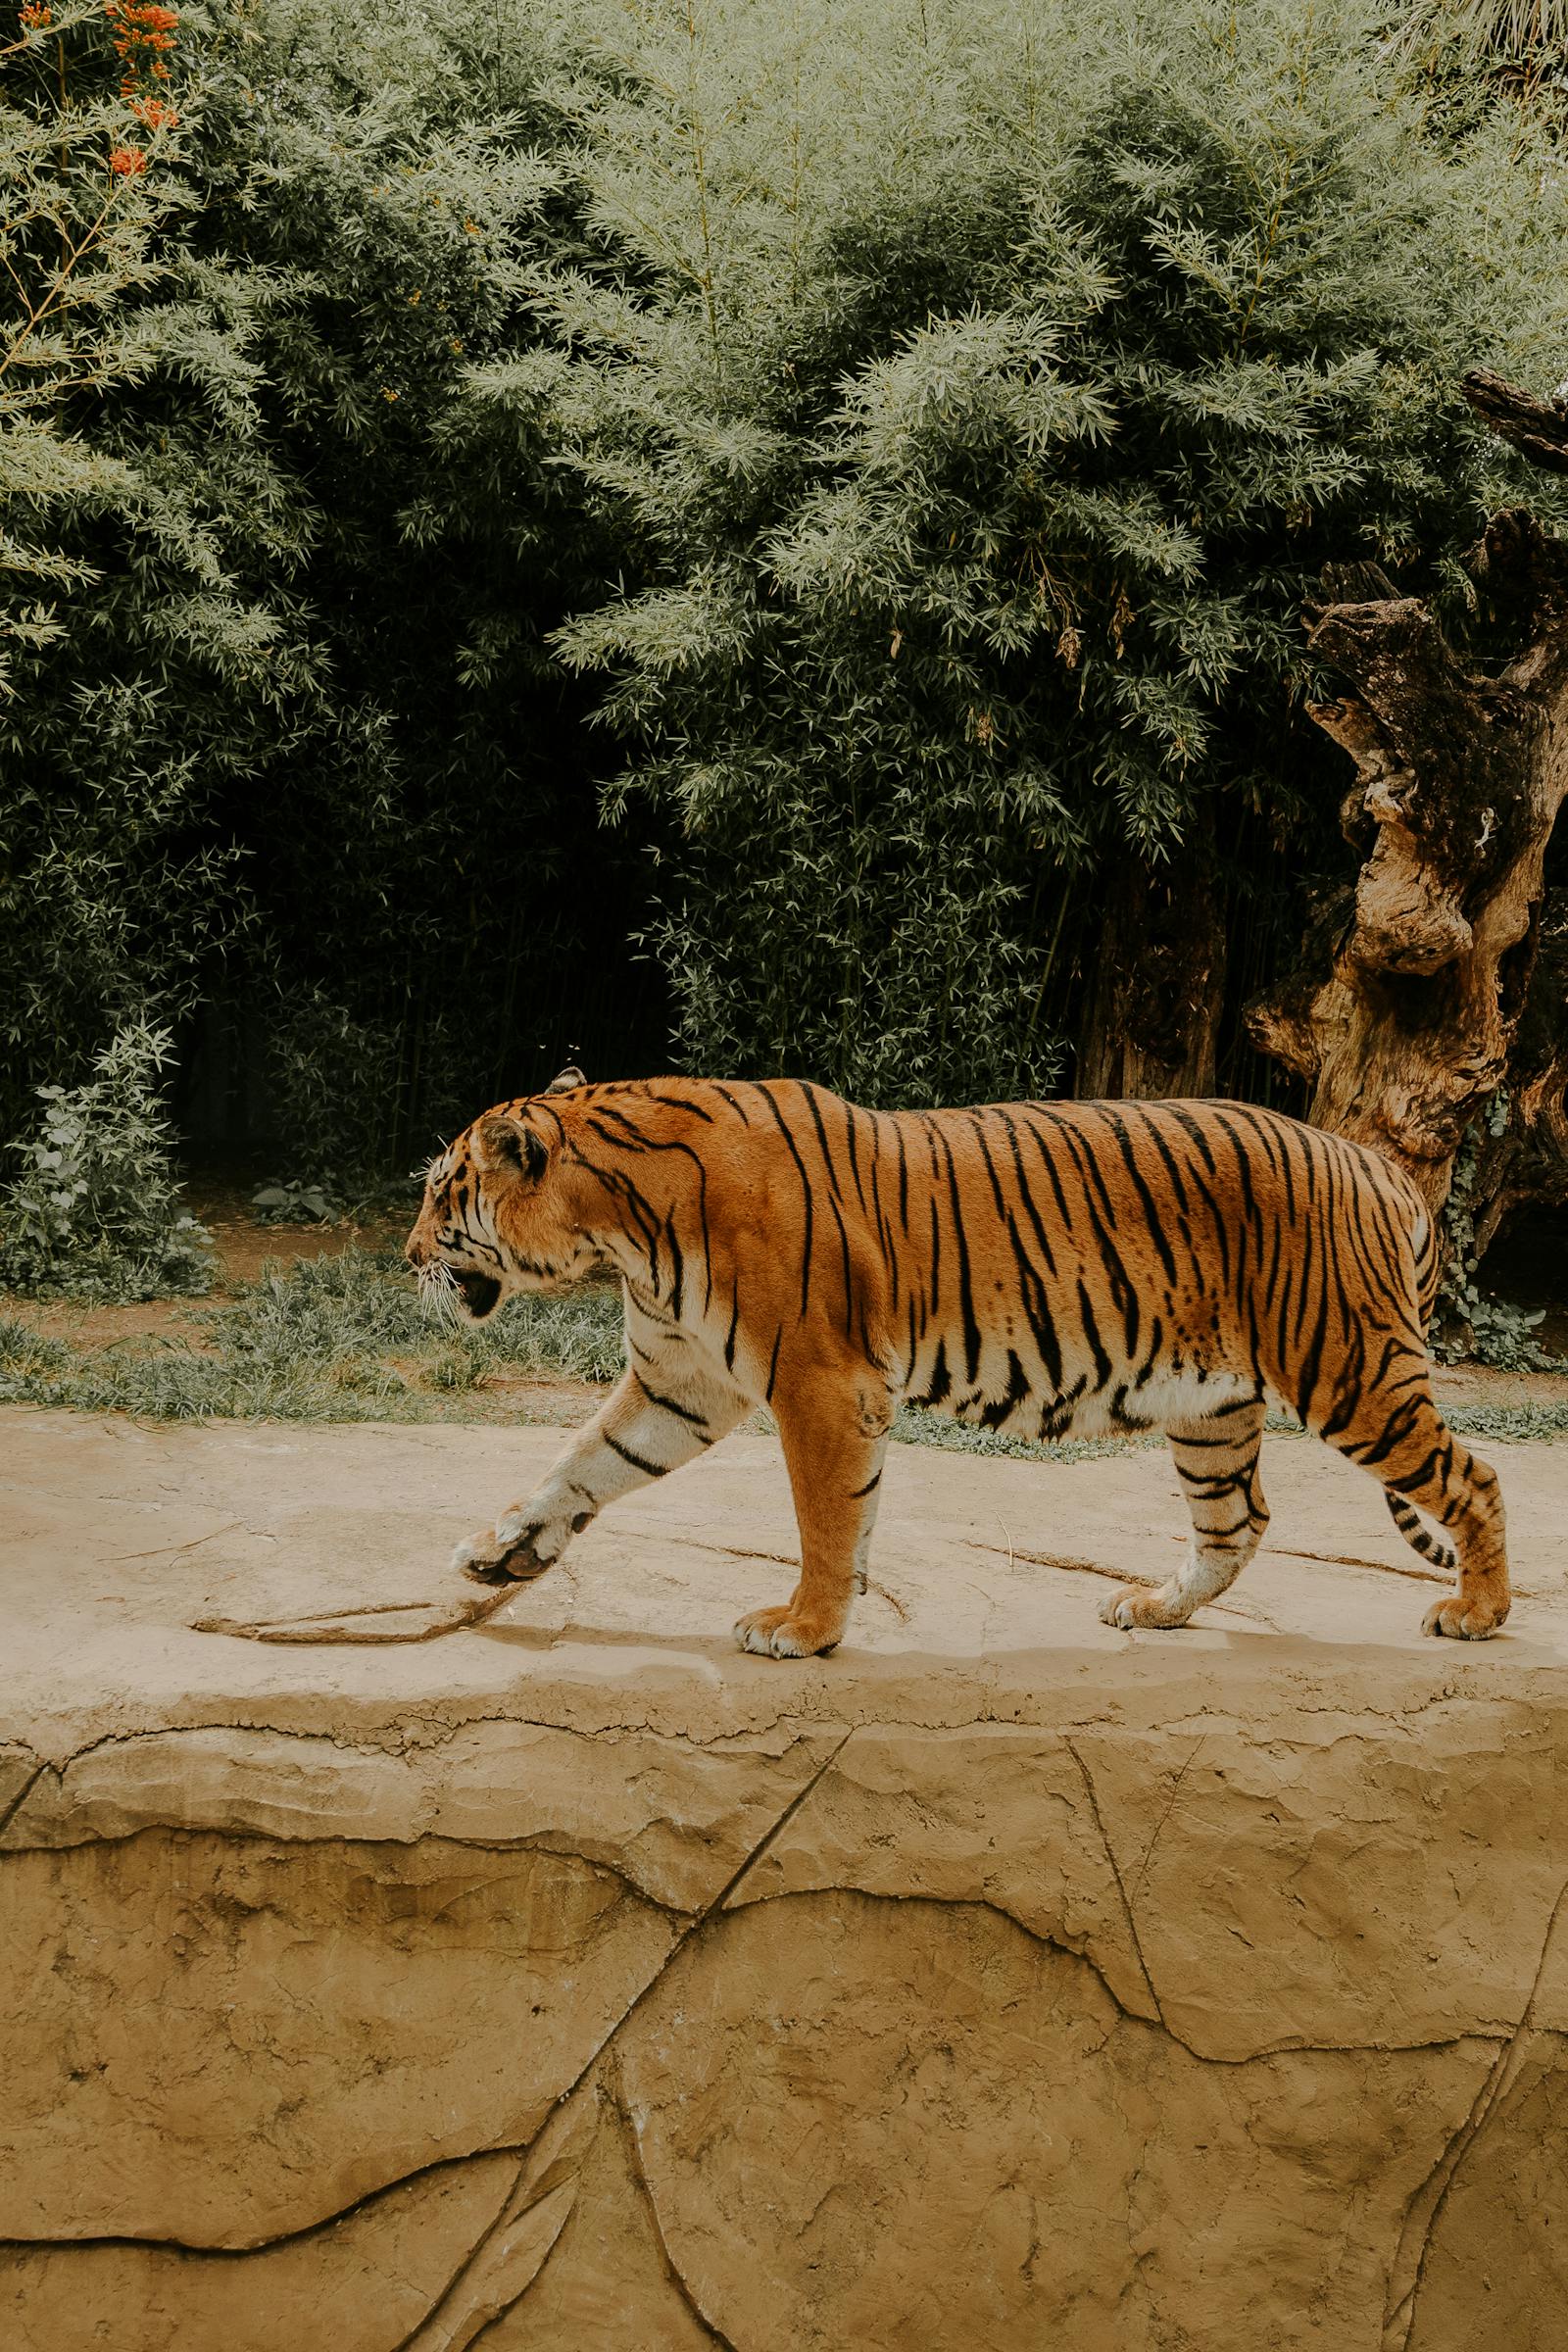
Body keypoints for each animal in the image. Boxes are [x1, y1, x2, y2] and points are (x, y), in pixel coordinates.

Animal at [403, 1069, 1509, 1658]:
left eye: (442, 1191)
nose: (409, 1256)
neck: (617, 1229)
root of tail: (1378, 1164)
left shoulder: (820, 1383)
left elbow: (825, 1521)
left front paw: (803, 1629)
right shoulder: (681, 1385)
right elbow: (582, 1465)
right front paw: (499, 1553)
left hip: (1347, 1368)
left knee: (1474, 1478)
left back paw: (1477, 1614)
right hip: (1211, 1405)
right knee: (1237, 1521)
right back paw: (1151, 1608)